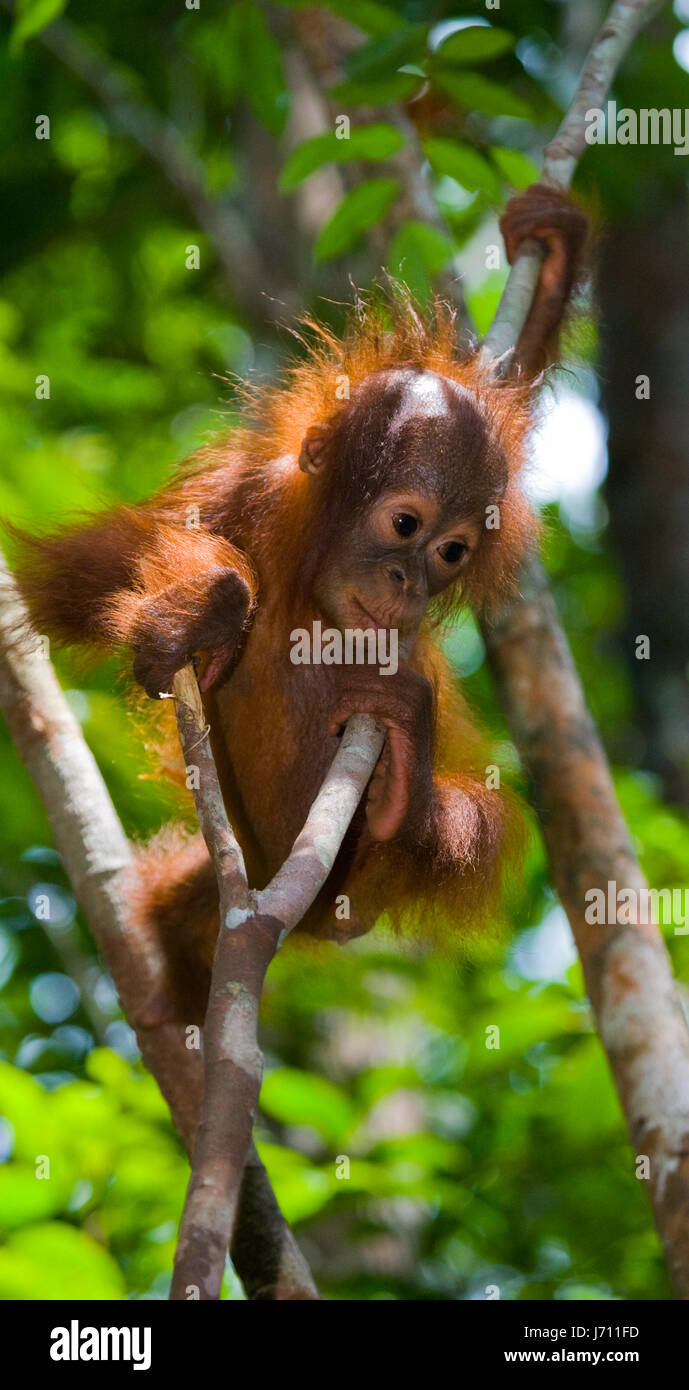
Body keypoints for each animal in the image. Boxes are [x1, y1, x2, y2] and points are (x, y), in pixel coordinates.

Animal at [11, 185, 587, 1023]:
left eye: (451, 553)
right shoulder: (251, 491)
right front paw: (204, 610)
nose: (409, 582)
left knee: (466, 823)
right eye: (405, 525)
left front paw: (552, 266)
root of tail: (284, 908)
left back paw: (405, 794)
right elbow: (92, 567)